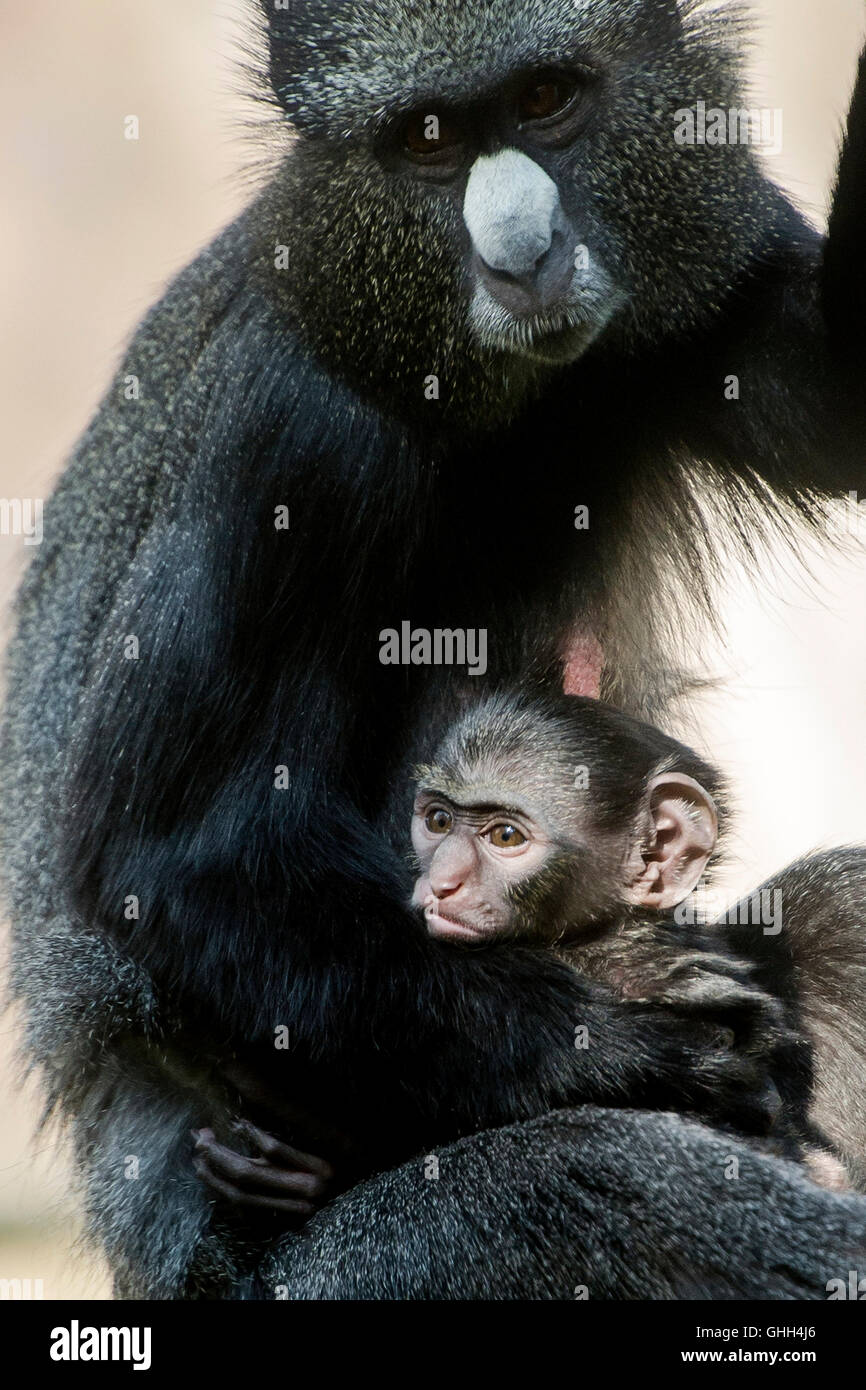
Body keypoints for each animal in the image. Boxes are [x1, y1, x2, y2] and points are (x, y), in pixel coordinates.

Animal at [2, 0, 866, 1299]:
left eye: (545, 99)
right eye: (425, 138)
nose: (519, 249)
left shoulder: (704, 255)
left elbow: (837, 392)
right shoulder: (294, 424)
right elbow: (180, 861)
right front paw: (640, 1049)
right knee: (591, 1183)